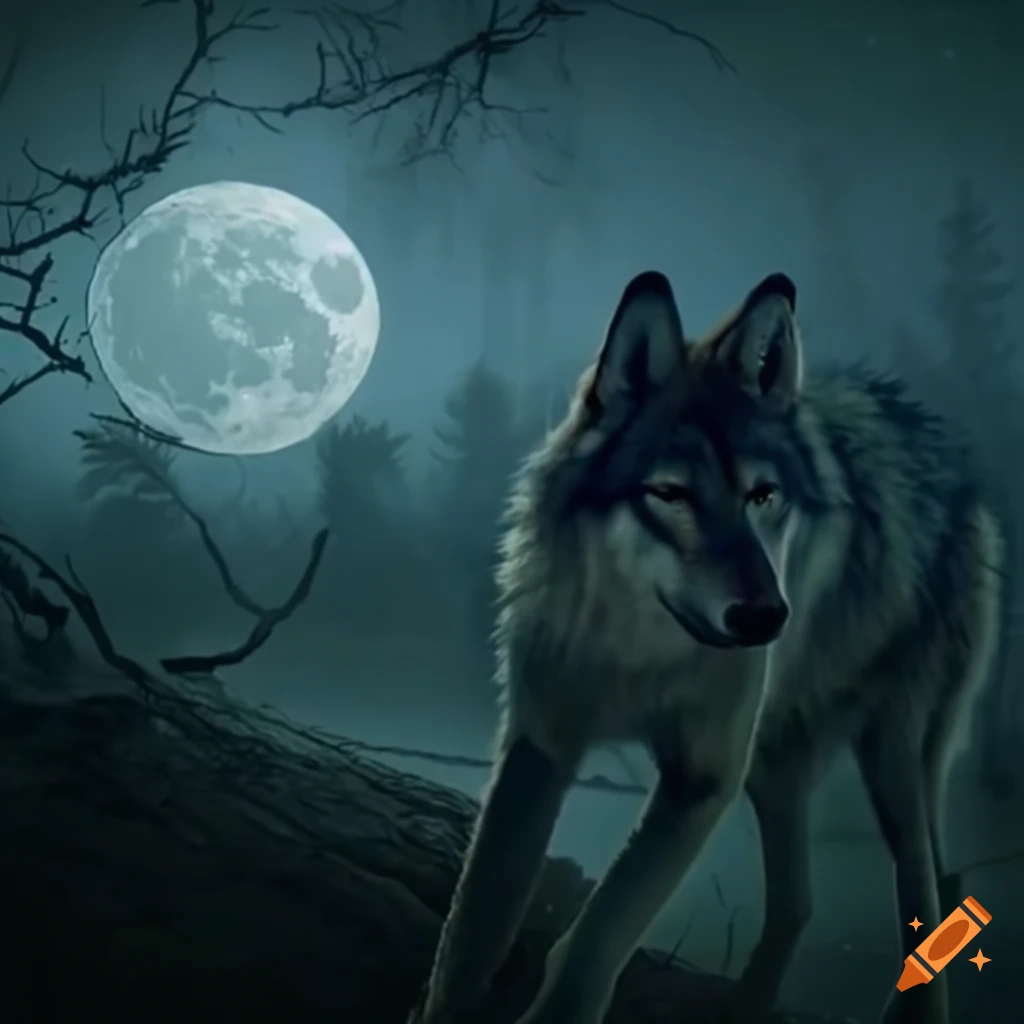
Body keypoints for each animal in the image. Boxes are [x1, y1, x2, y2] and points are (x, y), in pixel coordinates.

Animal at [408, 271, 1003, 1024]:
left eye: (763, 495)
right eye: (670, 493)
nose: (765, 617)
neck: (635, 651)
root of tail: (940, 438)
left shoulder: (703, 776)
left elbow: (596, 937)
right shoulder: (539, 746)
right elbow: (471, 932)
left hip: (891, 748)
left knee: (928, 877)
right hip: (775, 766)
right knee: (800, 902)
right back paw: (745, 1003)